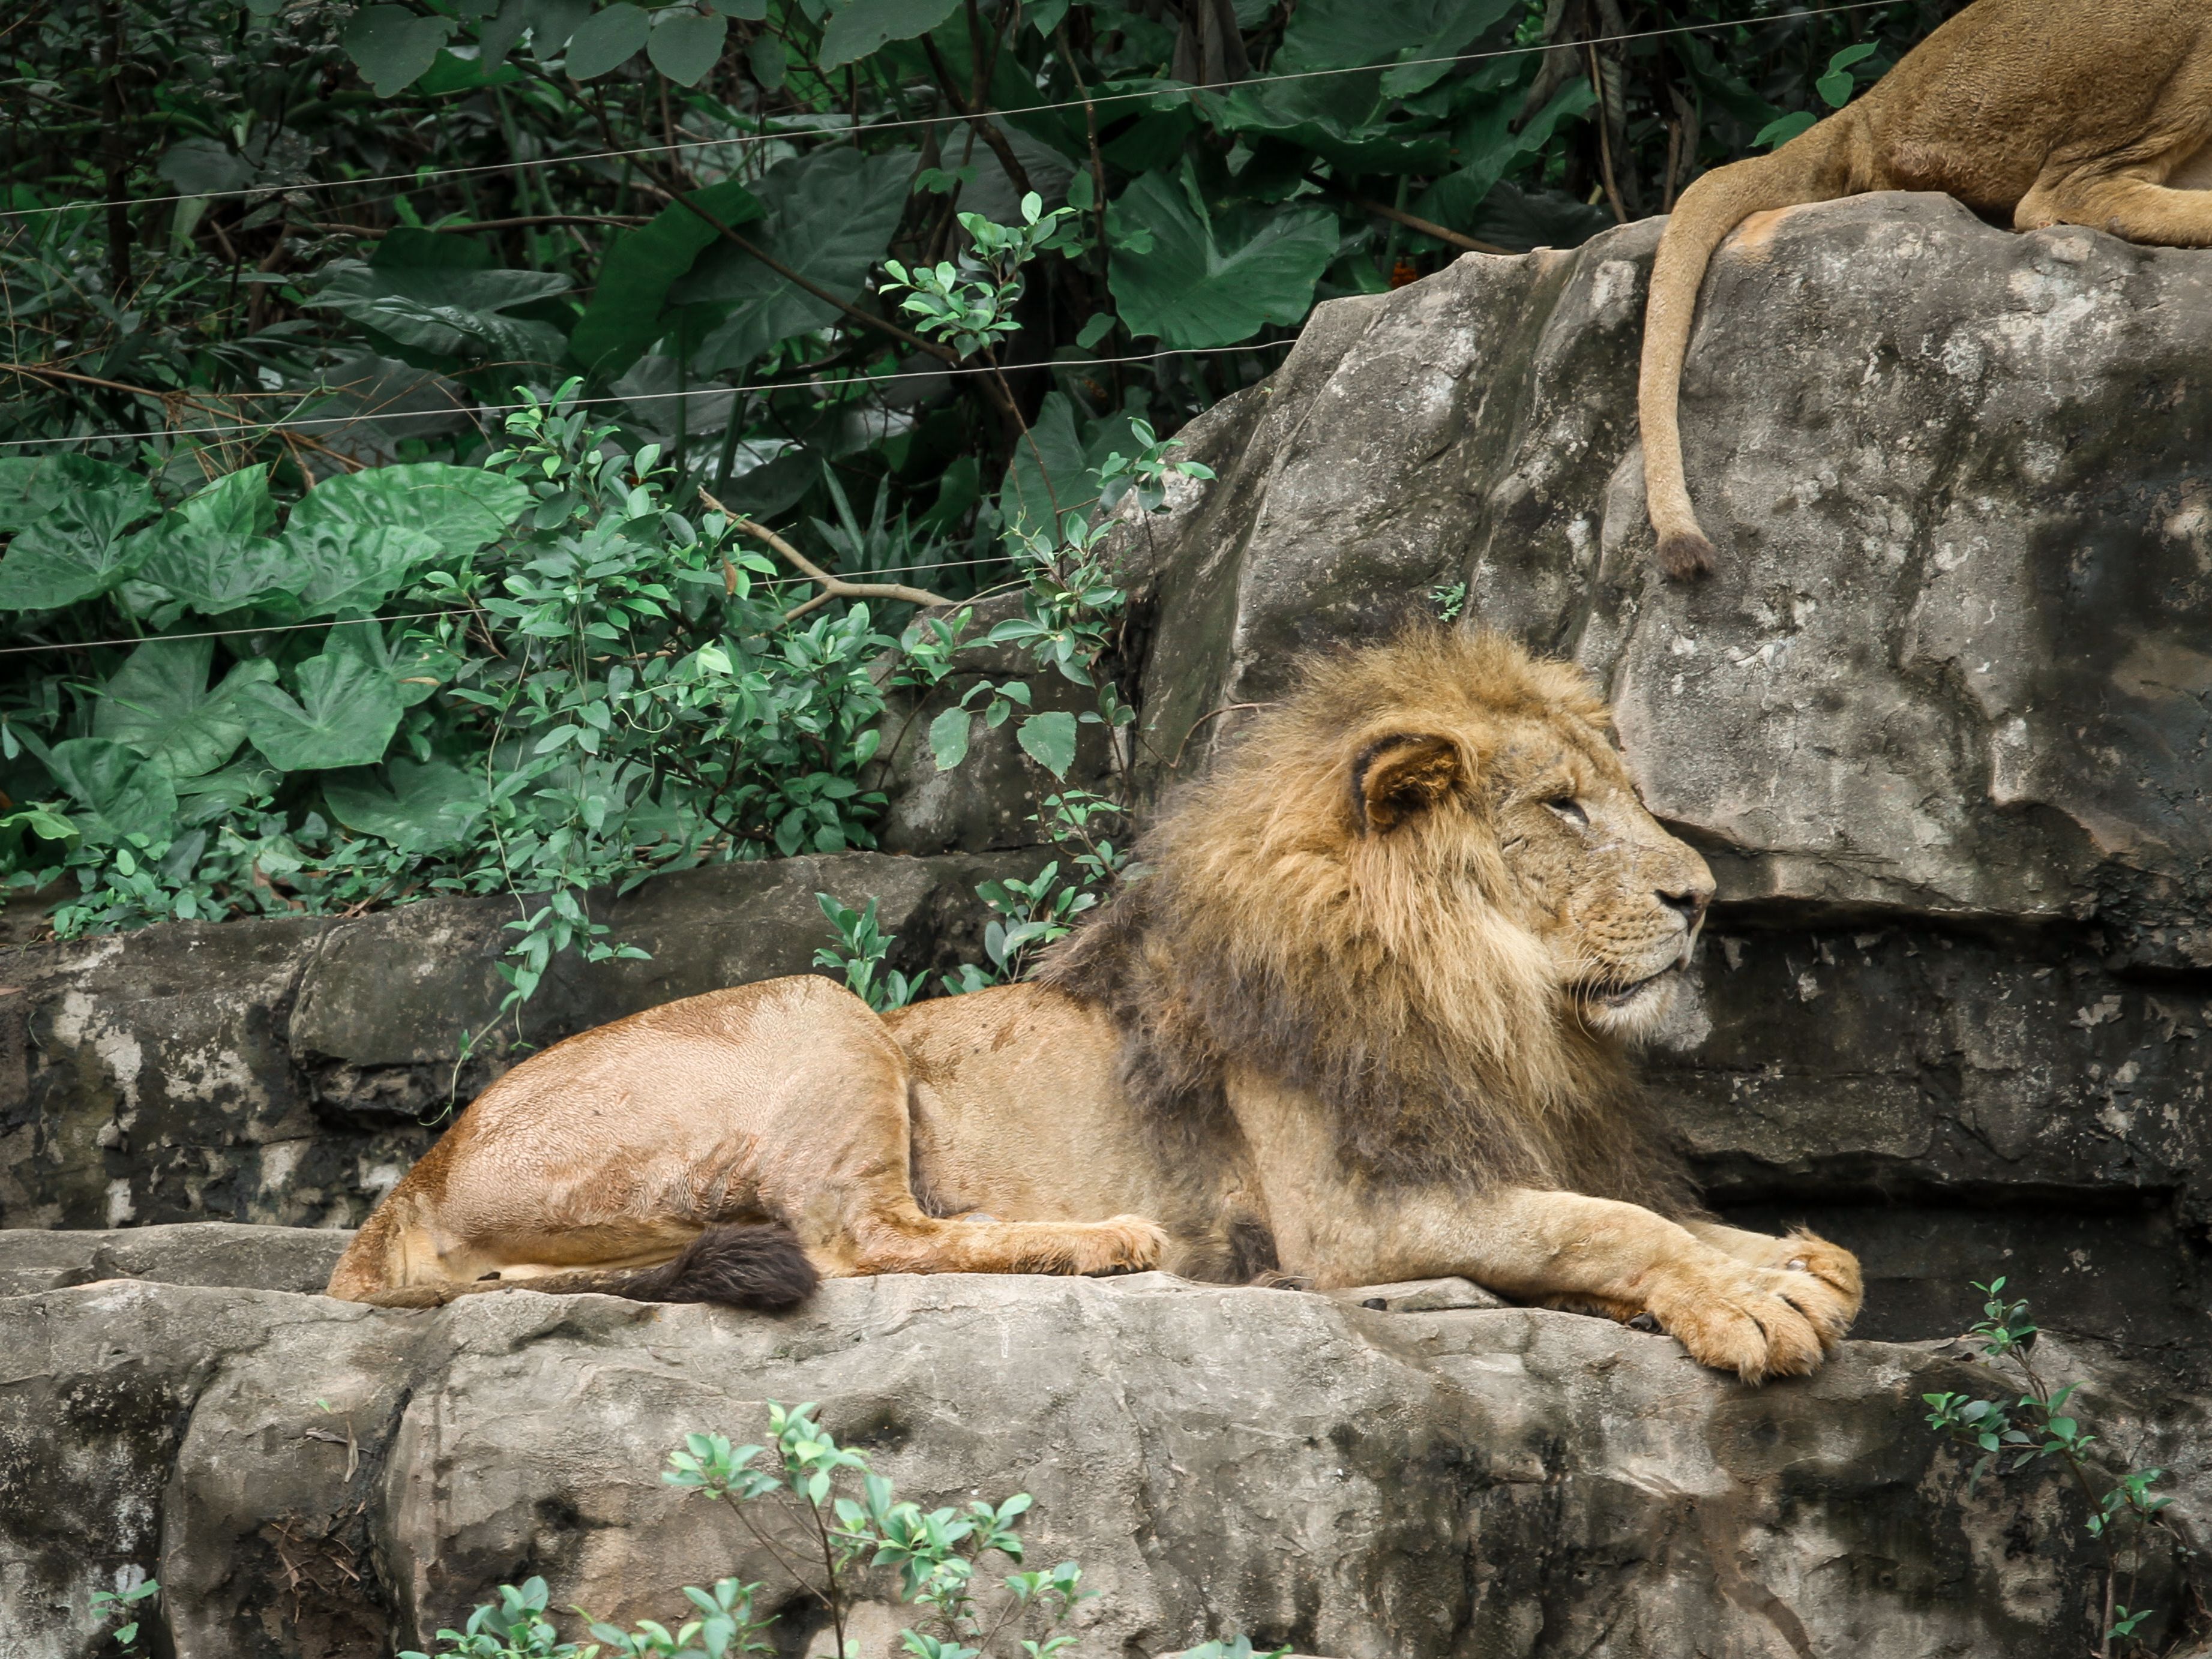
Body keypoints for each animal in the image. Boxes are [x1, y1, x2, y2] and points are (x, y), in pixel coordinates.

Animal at [328, 630, 1862, 1383]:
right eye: (1560, 807)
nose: (1701, 897)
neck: (1485, 993)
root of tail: (417, 1173)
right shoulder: (1352, 1220)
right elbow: (1594, 1224)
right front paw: (1760, 1296)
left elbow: (1649, 1212)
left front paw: (1788, 1257)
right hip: (822, 1010)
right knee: (864, 1239)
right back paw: (1109, 1238)